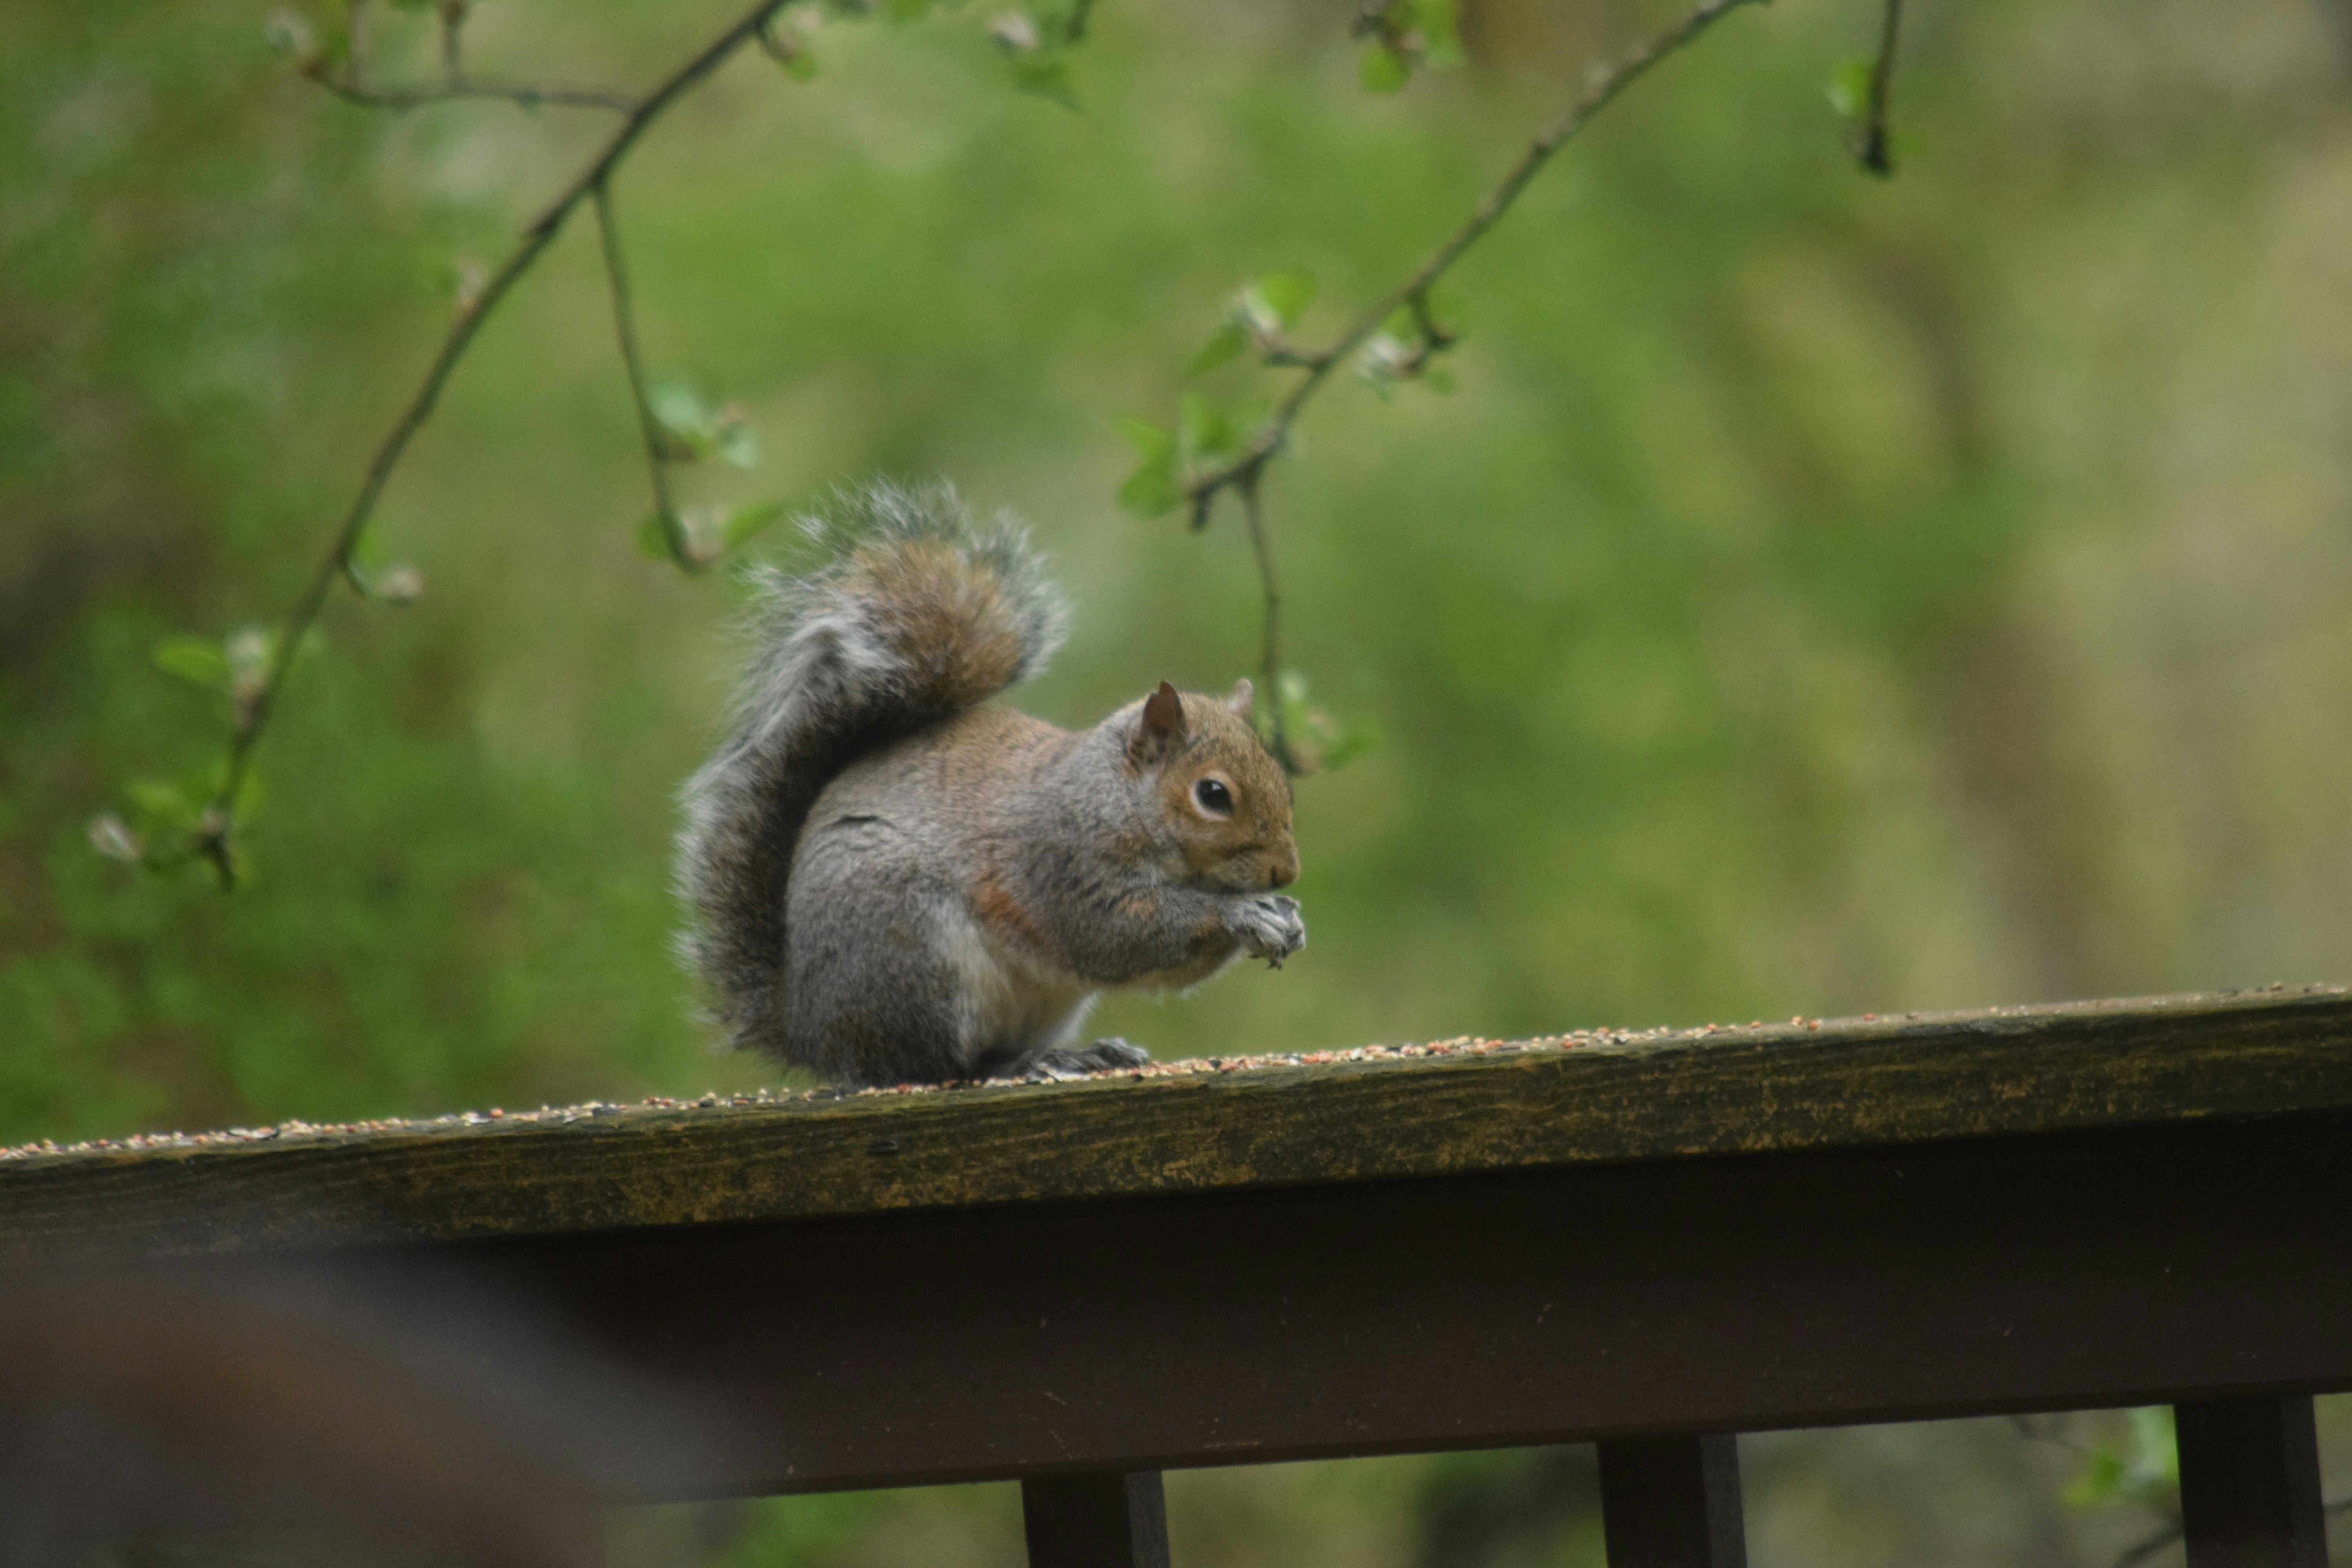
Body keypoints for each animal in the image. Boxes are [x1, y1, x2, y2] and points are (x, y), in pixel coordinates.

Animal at [675, 481, 1305, 1088]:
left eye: (1284, 783)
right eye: (1214, 795)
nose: (1286, 873)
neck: (1114, 799)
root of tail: (809, 1031)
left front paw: (1287, 918)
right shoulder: (1062, 862)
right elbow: (1119, 935)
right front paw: (1245, 914)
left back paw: (1083, 1053)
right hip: (912, 956)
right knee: (937, 1066)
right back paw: (1014, 1067)